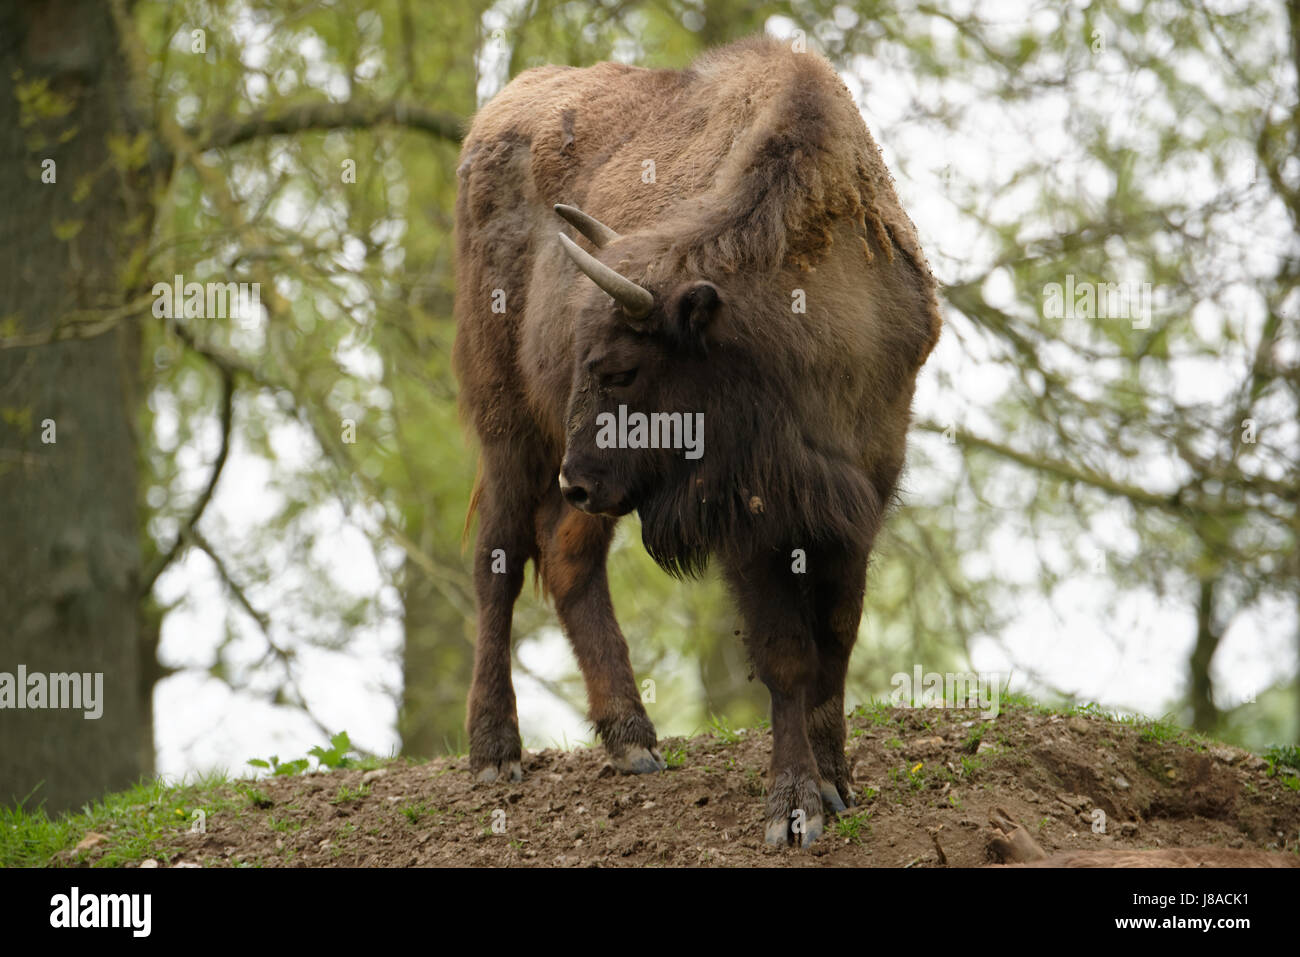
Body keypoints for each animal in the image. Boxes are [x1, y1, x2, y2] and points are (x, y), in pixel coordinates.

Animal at [452, 35, 941, 847]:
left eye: (620, 369)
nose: (578, 479)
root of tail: (498, 114)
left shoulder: (858, 495)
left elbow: (836, 639)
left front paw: (836, 782)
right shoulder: (747, 515)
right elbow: (786, 653)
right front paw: (793, 807)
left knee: (566, 555)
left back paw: (632, 741)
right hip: (511, 425)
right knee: (499, 556)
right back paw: (496, 751)